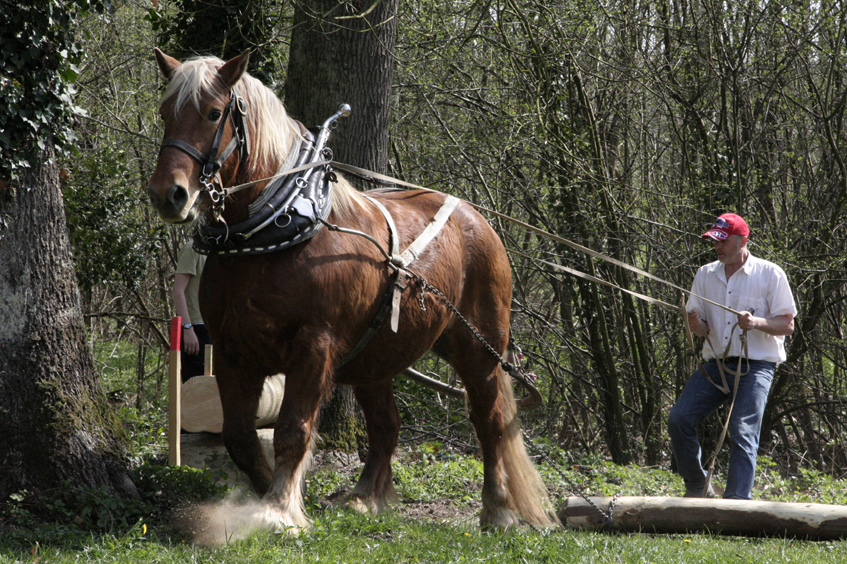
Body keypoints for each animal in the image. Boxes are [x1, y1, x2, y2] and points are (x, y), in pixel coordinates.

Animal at [147, 48, 557, 534]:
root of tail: (477, 218)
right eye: (164, 113)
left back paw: (498, 509)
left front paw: (277, 510)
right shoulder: (231, 350)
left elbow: (292, 431)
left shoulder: (315, 344)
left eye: (213, 113)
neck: (277, 230)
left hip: (479, 348)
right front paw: (267, 497)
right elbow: (240, 439)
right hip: (374, 357)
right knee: (386, 426)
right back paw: (365, 497)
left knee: (488, 420)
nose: (168, 194)